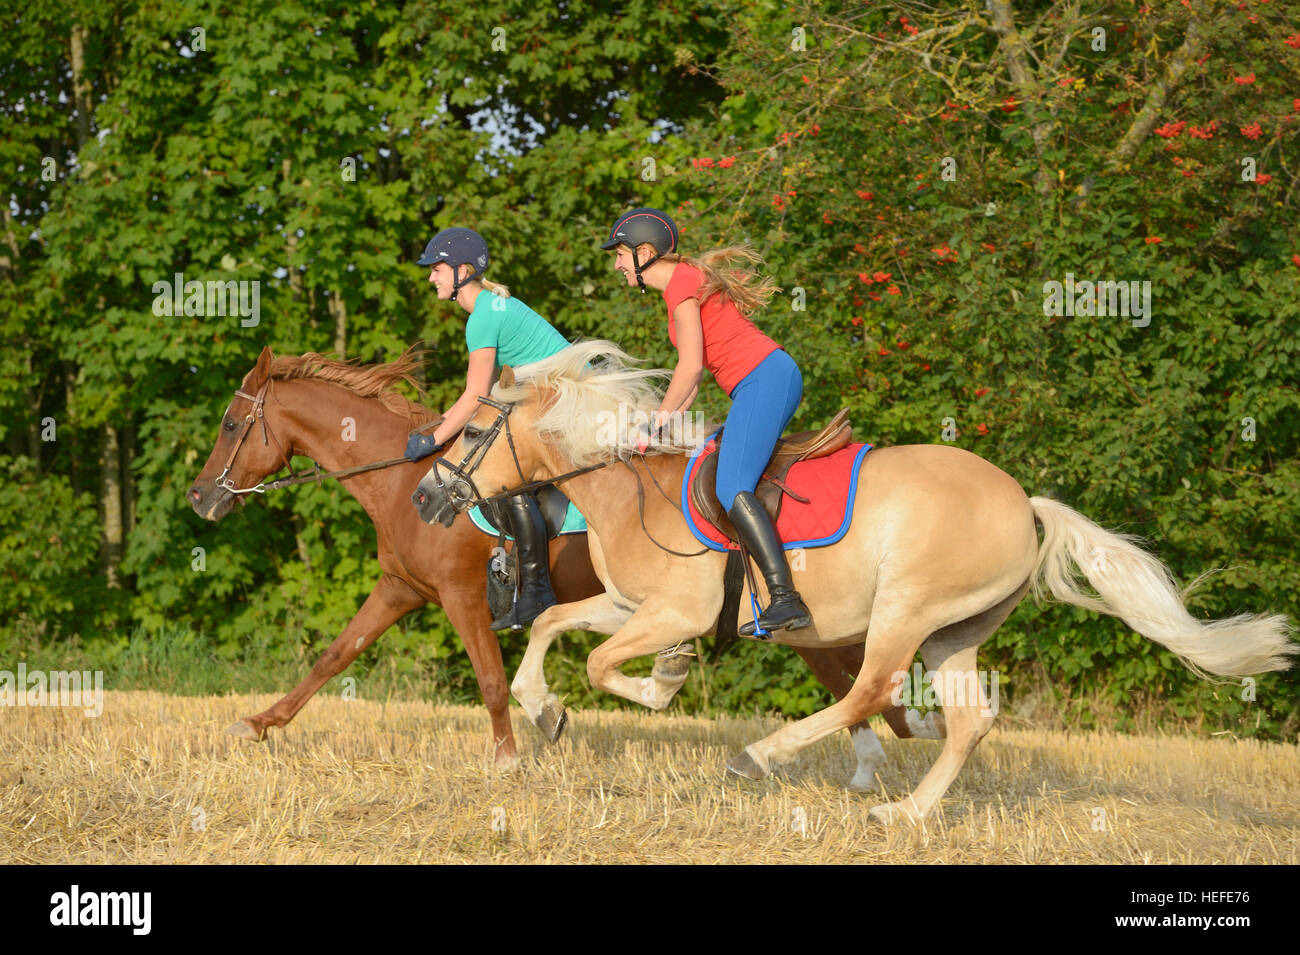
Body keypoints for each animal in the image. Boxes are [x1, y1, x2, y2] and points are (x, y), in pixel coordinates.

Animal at [188, 346, 918, 780]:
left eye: (230, 424)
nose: (199, 497)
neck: (402, 480)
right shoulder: (401, 588)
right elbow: (333, 656)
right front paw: (258, 723)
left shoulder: (460, 597)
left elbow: (488, 679)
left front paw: (511, 757)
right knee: (845, 675)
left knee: (845, 673)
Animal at [412, 339, 1297, 824]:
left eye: (479, 426)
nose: (424, 496)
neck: (629, 489)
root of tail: (1024, 502)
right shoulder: (632, 603)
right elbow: (553, 629)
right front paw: (547, 710)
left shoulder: (676, 610)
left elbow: (602, 663)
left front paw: (662, 680)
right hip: (954, 630)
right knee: (965, 721)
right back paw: (904, 812)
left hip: (905, 608)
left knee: (870, 690)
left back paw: (760, 755)